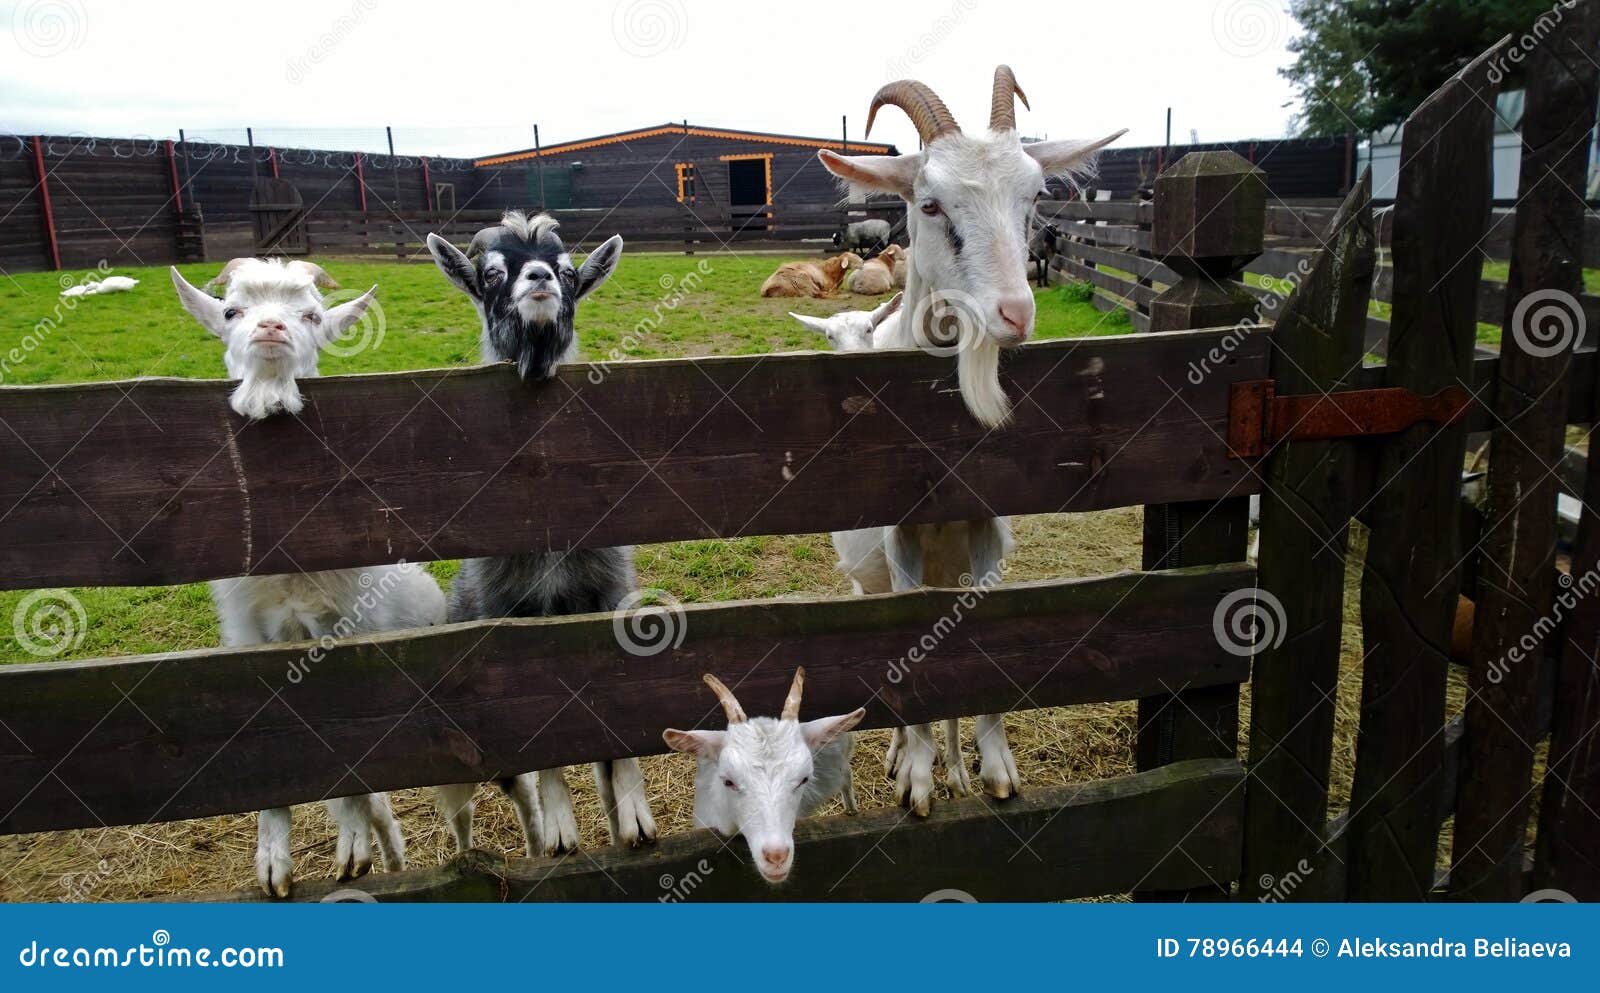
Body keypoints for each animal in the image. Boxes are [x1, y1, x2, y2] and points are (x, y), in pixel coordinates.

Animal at [170, 259, 447, 897]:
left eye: (314, 316)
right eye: (231, 311)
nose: (271, 328)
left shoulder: (354, 637)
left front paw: (350, 847)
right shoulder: (250, 638)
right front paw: (273, 862)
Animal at [426, 211, 657, 857]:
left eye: (571, 273)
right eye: (489, 274)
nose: (539, 278)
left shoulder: (607, 597)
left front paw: (635, 815)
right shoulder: (516, 623)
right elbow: (542, 749)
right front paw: (560, 829)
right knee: (511, 791)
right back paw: (529, 845)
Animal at [817, 67, 1123, 816]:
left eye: (1035, 195)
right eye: (929, 204)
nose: (1014, 311)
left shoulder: (988, 536)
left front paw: (992, 767)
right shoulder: (900, 542)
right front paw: (917, 779)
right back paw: (905, 756)